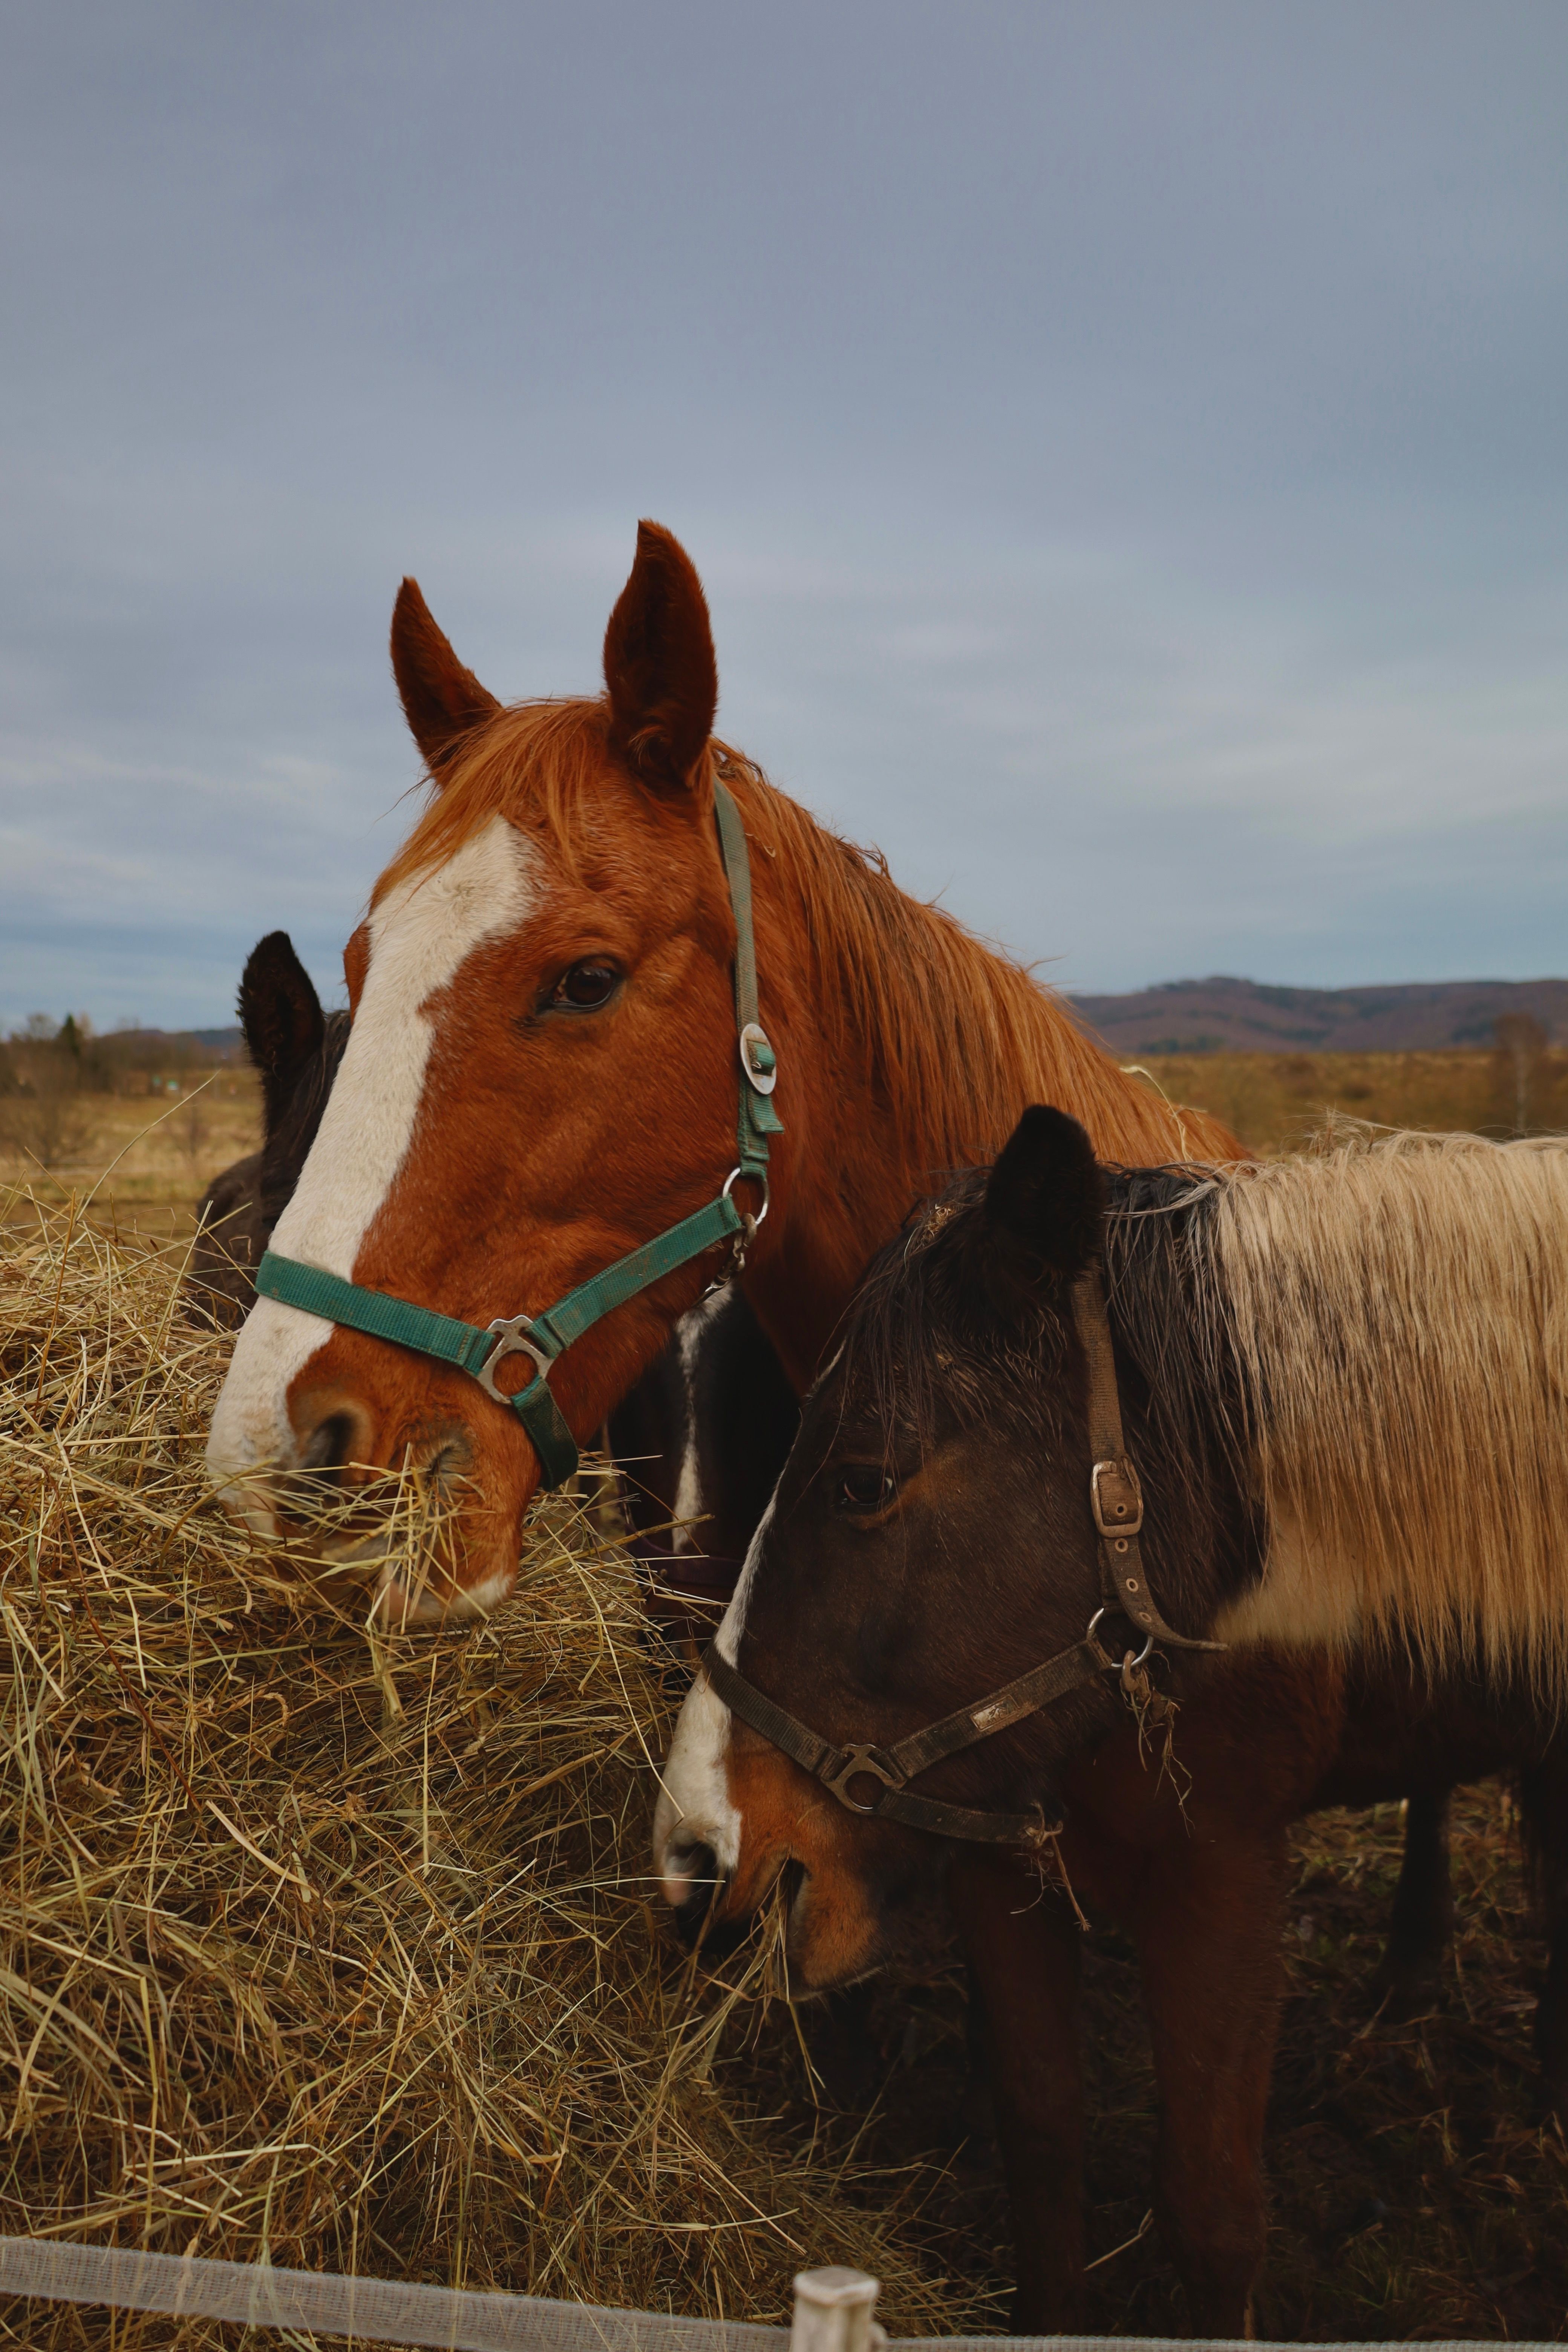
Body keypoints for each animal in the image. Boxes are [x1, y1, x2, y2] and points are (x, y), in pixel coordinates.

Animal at [653, 1109, 1568, 2330]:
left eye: (861, 1481)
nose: (693, 1848)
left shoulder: (1222, 1877)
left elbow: (1212, 2215)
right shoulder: (996, 1850)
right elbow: (1043, 2144)